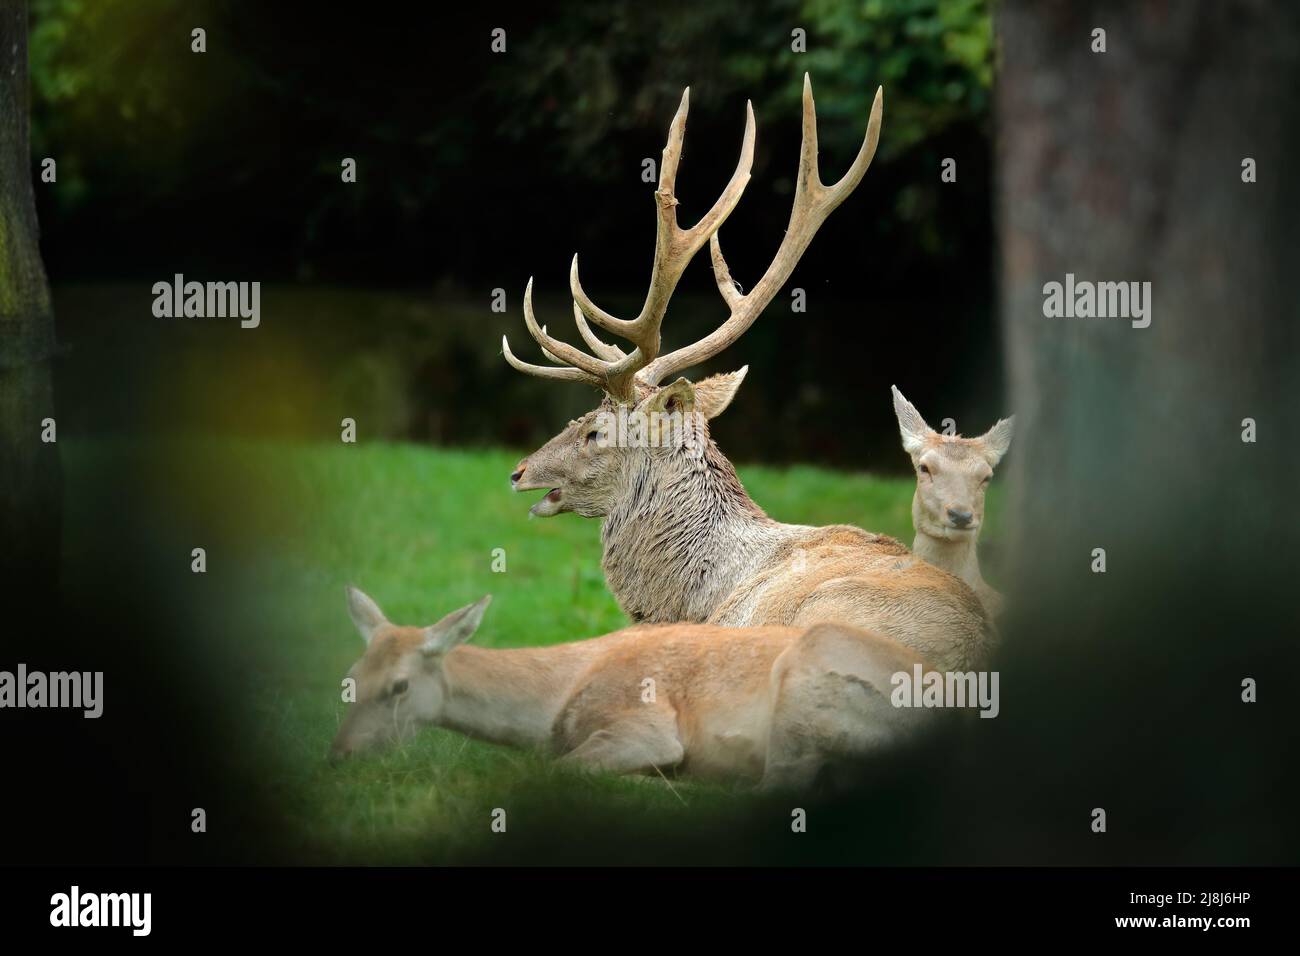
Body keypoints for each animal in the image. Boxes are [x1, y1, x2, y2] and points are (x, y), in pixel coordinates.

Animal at [330, 586, 933, 791]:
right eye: (350, 679)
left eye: (399, 686)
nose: (341, 754)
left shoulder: (644, 724)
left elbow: (552, 771)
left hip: (803, 691)